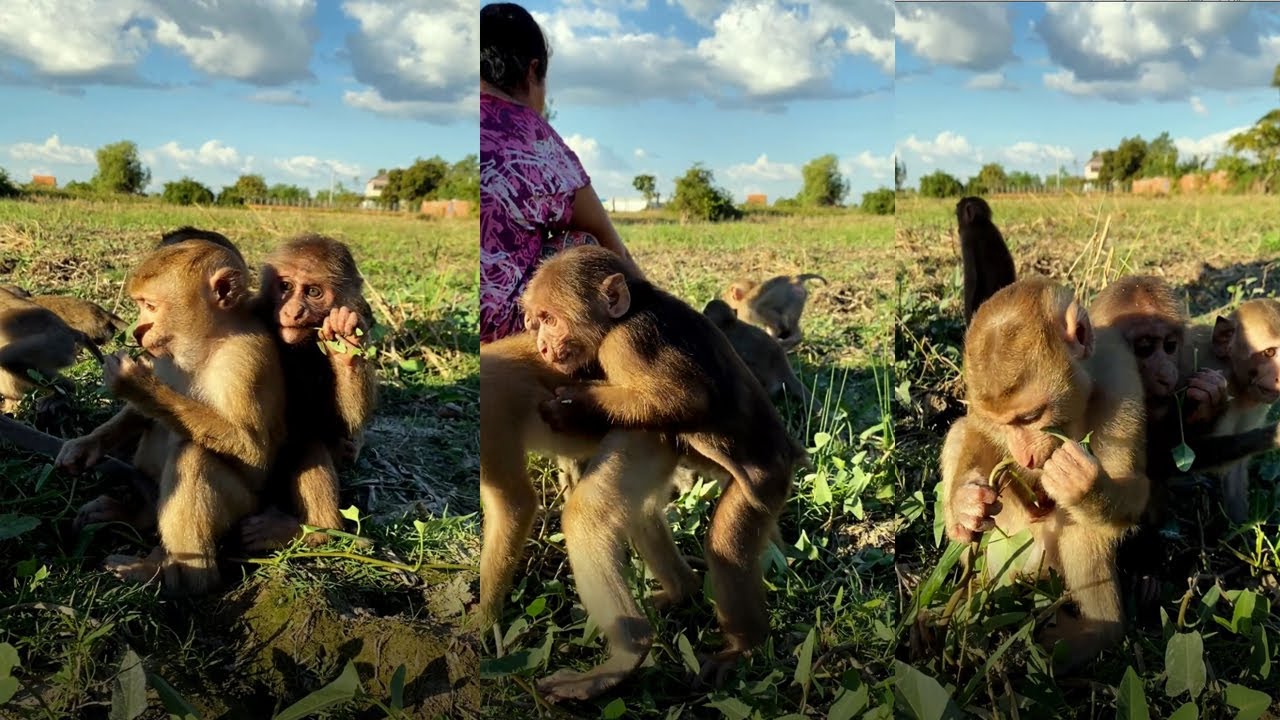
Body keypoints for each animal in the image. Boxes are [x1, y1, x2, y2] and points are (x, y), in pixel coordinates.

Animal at [55, 240, 285, 594]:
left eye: (150, 306)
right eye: (140, 305)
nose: (138, 330)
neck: (208, 343)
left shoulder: (246, 361)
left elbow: (252, 449)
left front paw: (134, 383)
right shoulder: (162, 354)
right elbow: (140, 414)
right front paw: (85, 445)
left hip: (245, 508)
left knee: (192, 456)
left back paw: (180, 577)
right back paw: (137, 513)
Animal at [236, 234, 378, 550]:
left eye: (313, 292)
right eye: (286, 287)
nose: (292, 311)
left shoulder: (360, 323)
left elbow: (336, 425)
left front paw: (346, 349)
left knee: (308, 440)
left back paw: (318, 530)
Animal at [520, 244, 806, 697]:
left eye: (549, 320)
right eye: (535, 323)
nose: (543, 346)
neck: (629, 312)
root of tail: (791, 453)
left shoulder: (630, 344)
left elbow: (688, 400)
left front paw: (575, 406)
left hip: (765, 484)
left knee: (725, 545)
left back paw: (724, 648)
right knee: (638, 505)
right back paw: (682, 591)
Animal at [941, 276, 1148, 672]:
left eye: (1031, 416)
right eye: (1005, 423)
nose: (1024, 454)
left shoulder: (1121, 379)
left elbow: (1133, 483)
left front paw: (1082, 485)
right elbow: (975, 430)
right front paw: (966, 504)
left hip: (1047, 568)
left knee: (1081, 527)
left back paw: (1099, 630)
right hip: (1006, 548)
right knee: (958, 434)